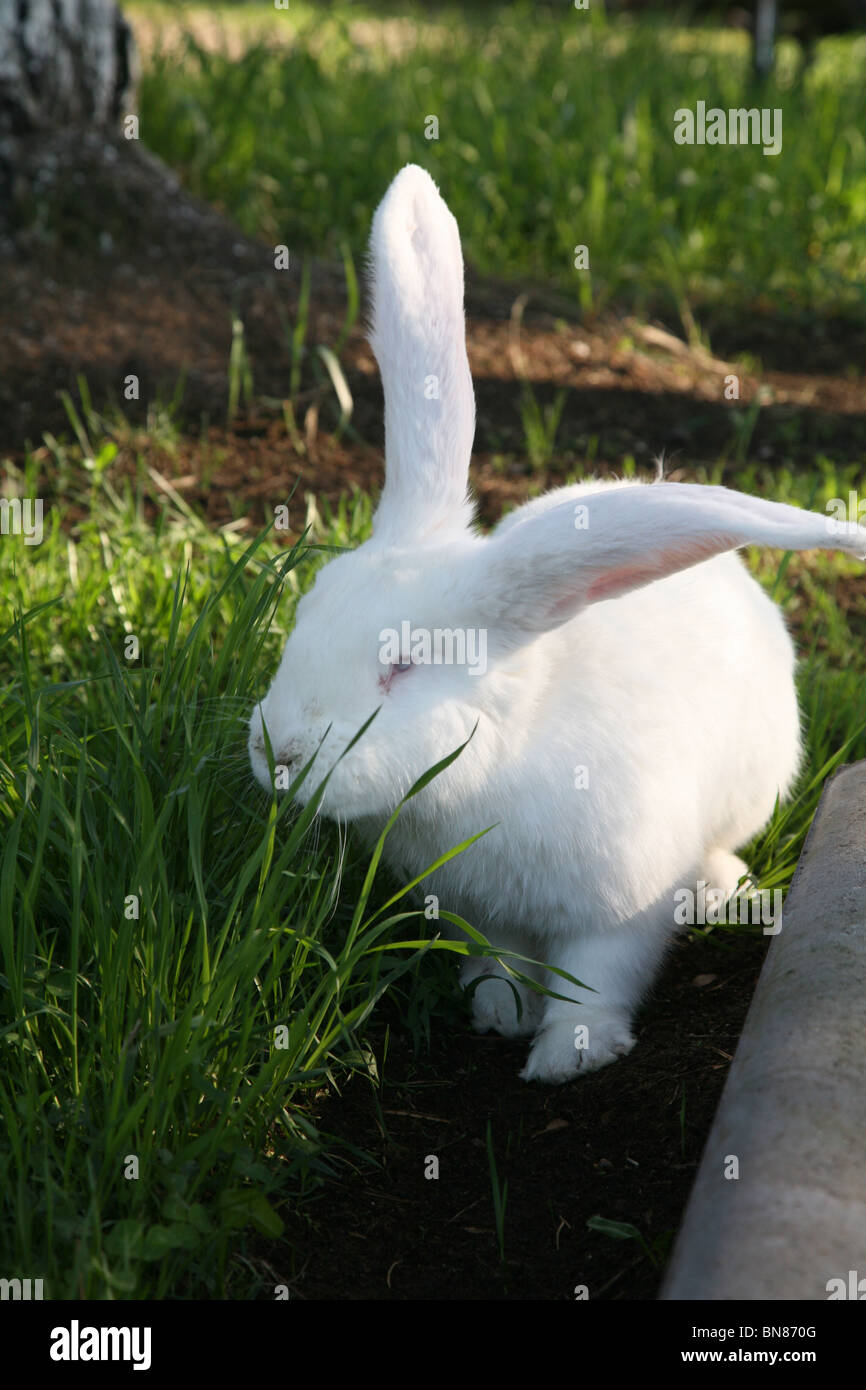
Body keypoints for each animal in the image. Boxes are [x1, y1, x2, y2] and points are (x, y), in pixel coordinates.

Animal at [249, 164, 866, 1084]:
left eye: (404, 665)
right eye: (305, 615)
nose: (278, 755)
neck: (497, 767)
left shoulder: (617, 907)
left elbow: (601, 976)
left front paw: (568, 1056)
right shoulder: (482, 909)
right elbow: (499, 958)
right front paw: (498, 1013)